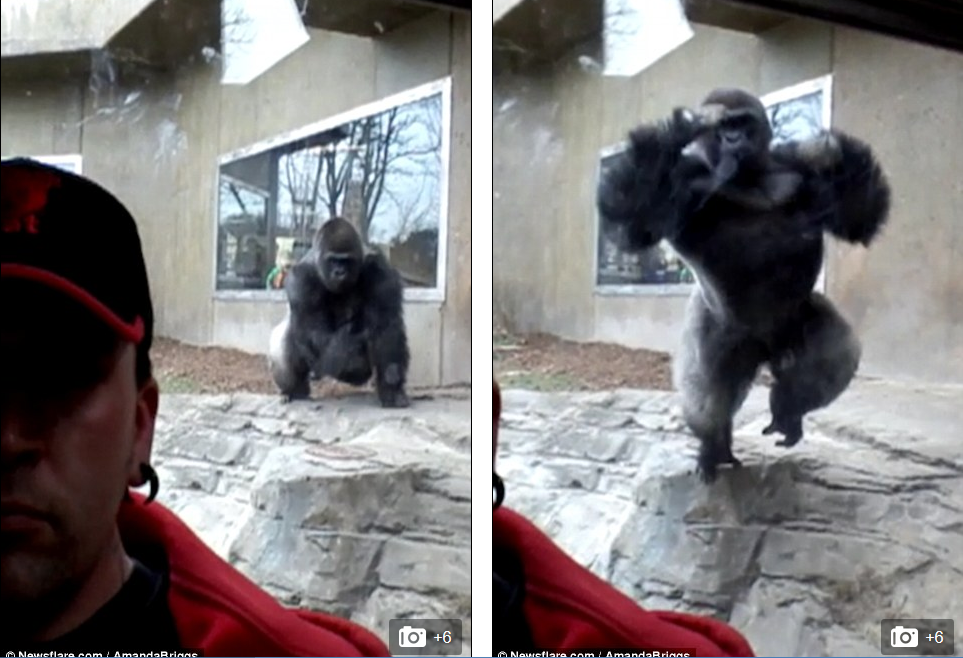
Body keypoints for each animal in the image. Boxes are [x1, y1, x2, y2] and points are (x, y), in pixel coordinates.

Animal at [268, 217, 410, 408]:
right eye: (333, 260)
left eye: (346, 261)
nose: (340, 272)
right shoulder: (301, 279)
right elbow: (314, 332)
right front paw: (354, 356)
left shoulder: (380, 270)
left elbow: (386, 327)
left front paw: (391, 386)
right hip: (317, 369)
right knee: (282, 342)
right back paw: (294, 391)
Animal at [597, 88, 890, 482]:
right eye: (723, 127)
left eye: (741, 123)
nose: (733, 140)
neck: (753, 177)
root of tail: (767, 349)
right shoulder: (685, 177)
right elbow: (635, 219)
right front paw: (677, 130)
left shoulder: (795, 166)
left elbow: (858, 215)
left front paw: (834, 151)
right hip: (721, 330)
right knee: (707, 391)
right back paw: (714, 444)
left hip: (793, 325)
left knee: (834, 354)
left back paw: (789, 409)